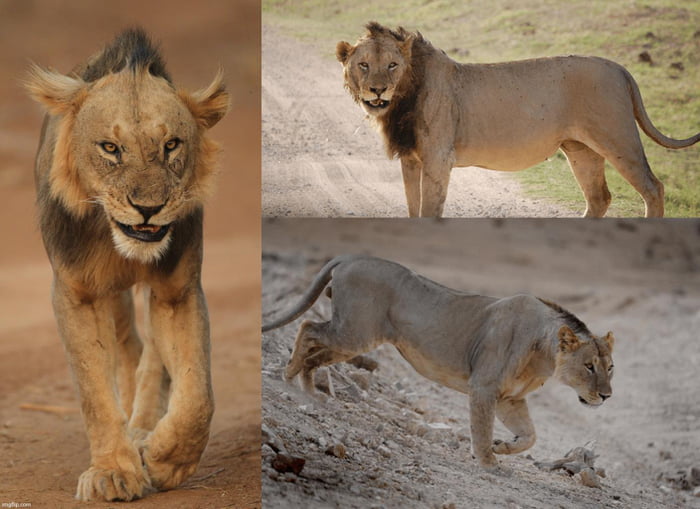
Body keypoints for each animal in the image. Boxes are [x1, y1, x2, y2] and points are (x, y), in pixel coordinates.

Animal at [24, 28, 228, 501]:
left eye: (170, 145)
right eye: (110, 148)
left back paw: (144, 432)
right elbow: (95, 395)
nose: (148, 209)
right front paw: (113, 472)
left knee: (152, 357)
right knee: (129, 347)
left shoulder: (178, 291)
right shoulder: (77, 294)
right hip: (113, 299)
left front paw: (167, 460)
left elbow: (198, 395)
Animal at [262, 255, 615, 469]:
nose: (607, 396)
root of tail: (350, 257)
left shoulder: (510, 399)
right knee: (308, 328)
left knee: (315, 351)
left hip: (352, 339)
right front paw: (489, 462)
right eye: (589, 366)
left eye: (610, 368)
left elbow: (529, 436)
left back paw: (310, 391)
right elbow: (481, 428)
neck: (545, 355)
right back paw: (289, 376)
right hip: (354, 333)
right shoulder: (484, 387)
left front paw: (502, 446)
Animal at [336, 22, 700, 217]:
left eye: (392, 65)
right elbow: (413, 209)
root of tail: (619, 67)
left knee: (653, 187)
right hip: (581, 149)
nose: (377, 90)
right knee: (599, 198)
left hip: (617, 138)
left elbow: (430, 210)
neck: (401, 100)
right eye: (364, 65)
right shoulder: (411, 160)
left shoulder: (438, 160)